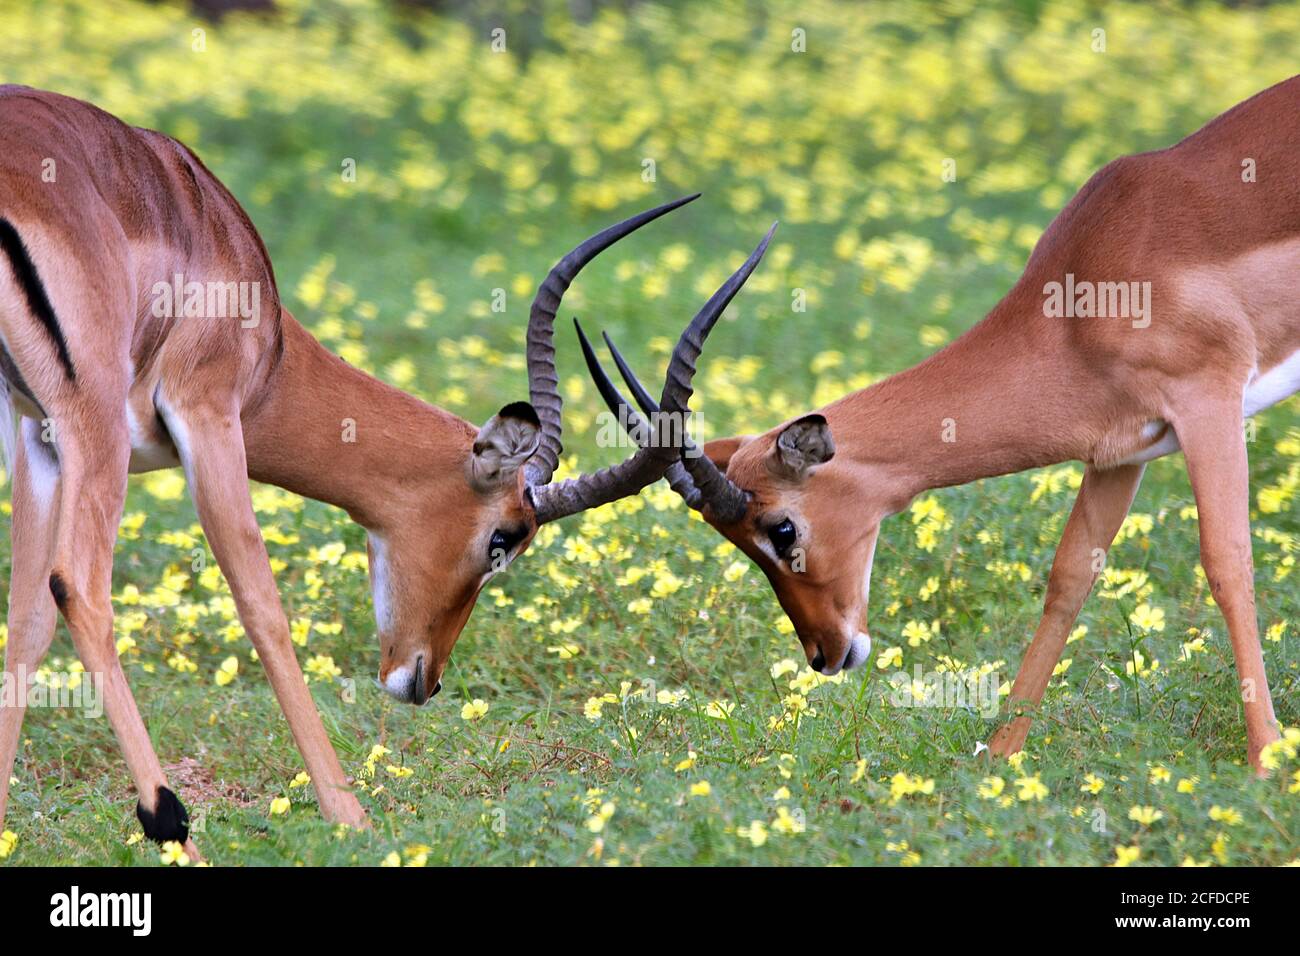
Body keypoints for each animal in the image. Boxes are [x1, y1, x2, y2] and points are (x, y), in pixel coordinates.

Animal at [0, 84, 773, 857]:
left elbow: (27, 619)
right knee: (83, 586)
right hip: (99, 424)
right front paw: (352, 818)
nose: (421, 680)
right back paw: (174, 829)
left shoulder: (39, 440)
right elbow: (262, 605)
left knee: (49, 595)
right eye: (503, 538)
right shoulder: (209, 416)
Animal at [582, 75, 1300, 773]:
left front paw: (1265, 758)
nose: (825, 653)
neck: (1083, 303)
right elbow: (1068, 579)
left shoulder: (1207, 403)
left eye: (781, 529)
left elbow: (1226, 561)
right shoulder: (1118, 454)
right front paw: (1001, 755)